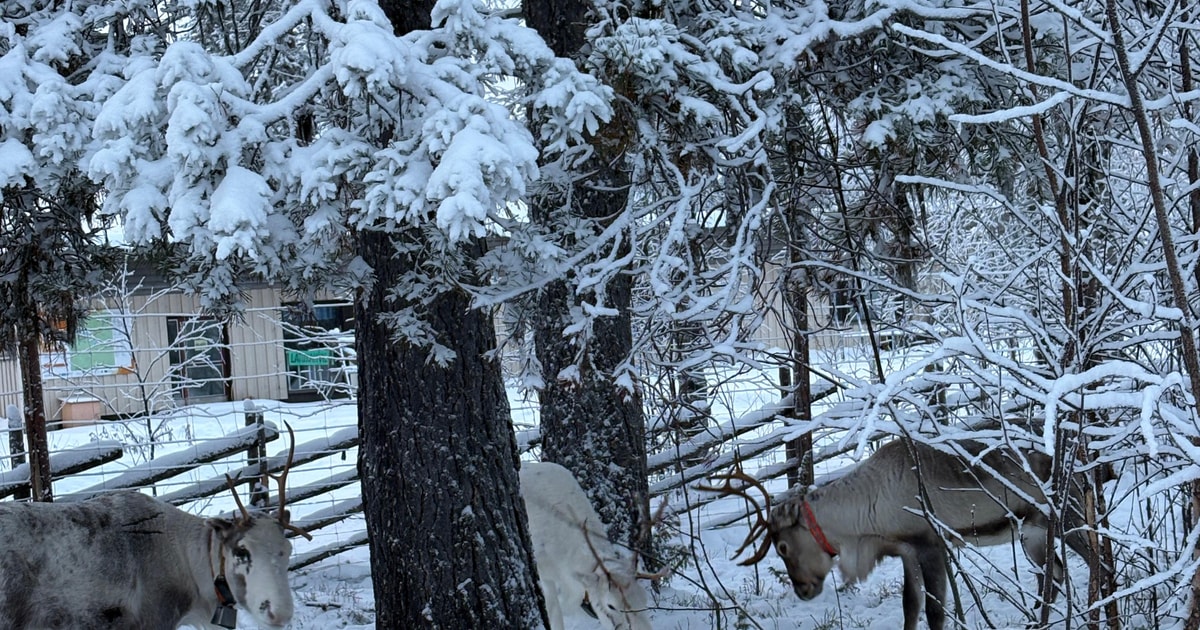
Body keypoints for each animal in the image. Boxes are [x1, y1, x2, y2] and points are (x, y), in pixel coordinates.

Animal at [701, 438, 1100, 630]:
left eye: (782, 546)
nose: (803, 590)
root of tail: (1083, 458)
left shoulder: (932, 545)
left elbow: (936, 612)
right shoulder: (906, 551)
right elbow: (911, 607)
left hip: (1069, 519)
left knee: (1097, 562)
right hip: (1033, 533)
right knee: (1054, 573)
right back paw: (1037, 621)